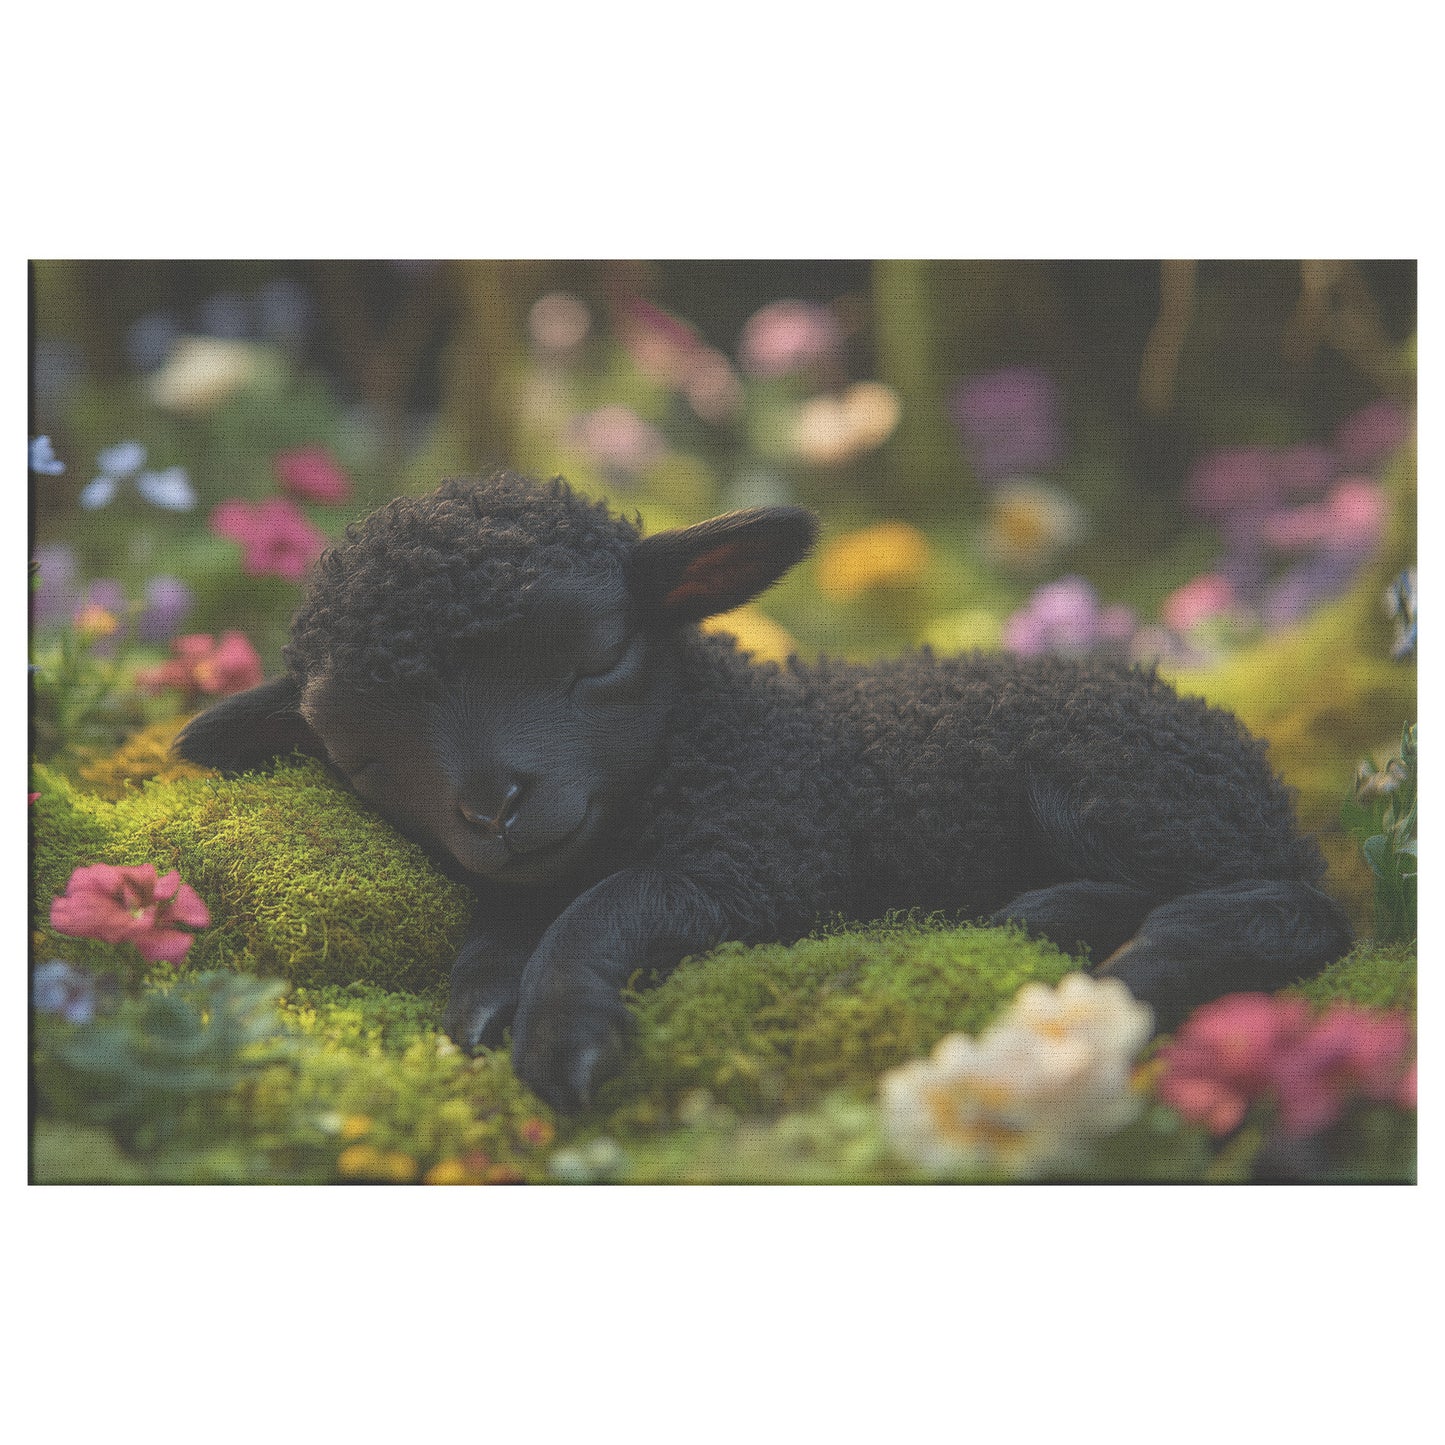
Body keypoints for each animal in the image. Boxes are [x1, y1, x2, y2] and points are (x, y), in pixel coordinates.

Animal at [176, 471, 1352, 1112]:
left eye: (600, 656)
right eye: (358, 755)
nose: (493, 805)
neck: (722, 730)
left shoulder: (763, 854)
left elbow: (606, 905)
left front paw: (561, 1032)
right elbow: (508, 919)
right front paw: (482, 997)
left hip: (1120, 782)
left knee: (1294, 904)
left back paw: (1131, 955)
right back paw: (1047, 911)